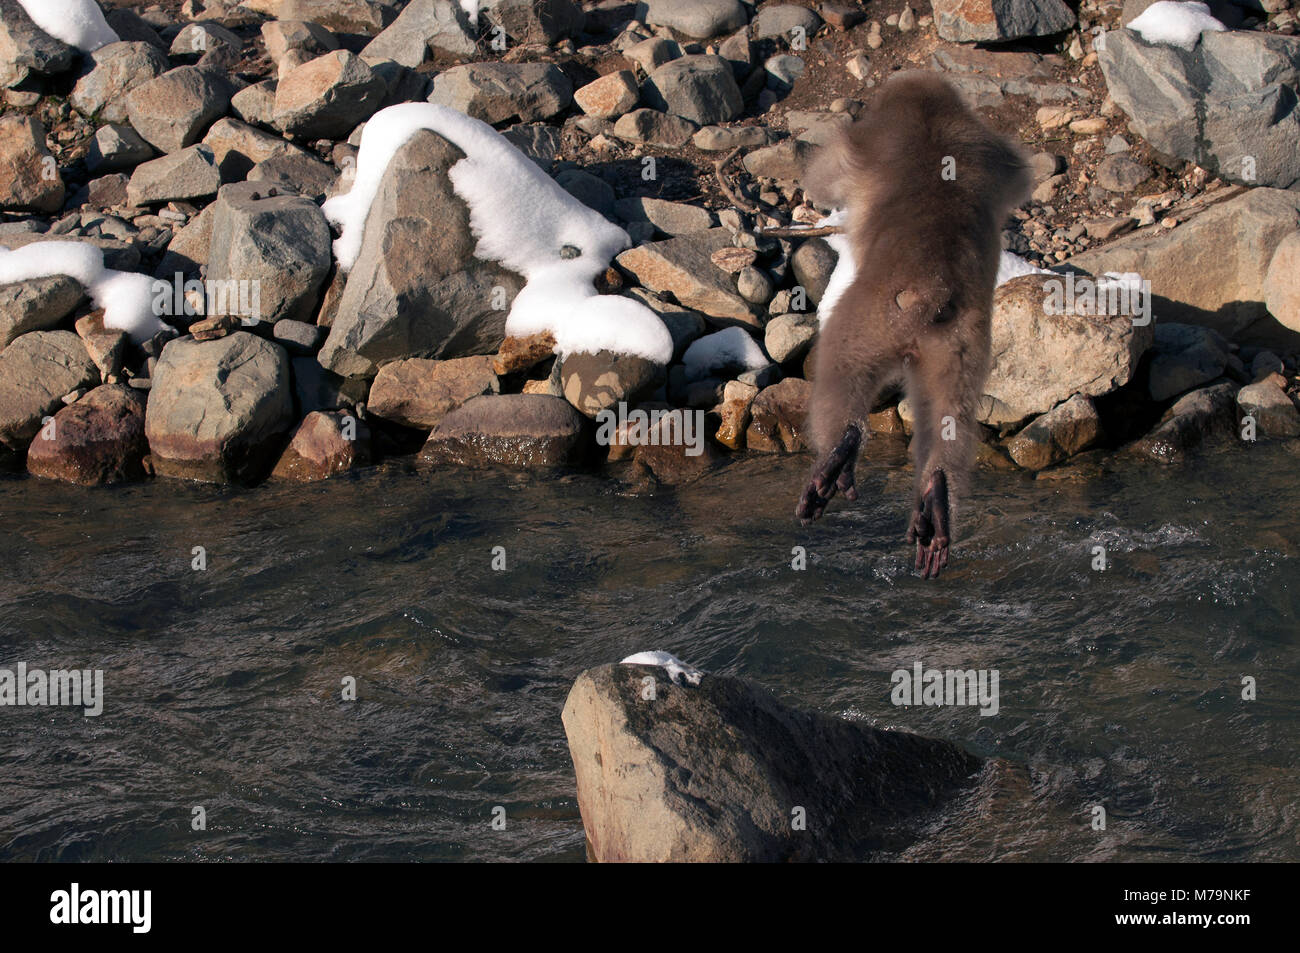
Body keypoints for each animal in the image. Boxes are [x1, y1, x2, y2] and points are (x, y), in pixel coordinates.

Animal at [794, 72, 1031, 579]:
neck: (931, 113)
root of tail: (931, 288)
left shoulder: (861, 141)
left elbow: (824, 173)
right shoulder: (995, 151)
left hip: (869, 316)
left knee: (840, 365)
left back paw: (839, 450)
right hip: (961, 342)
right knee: (950, 412)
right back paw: (935, 494)